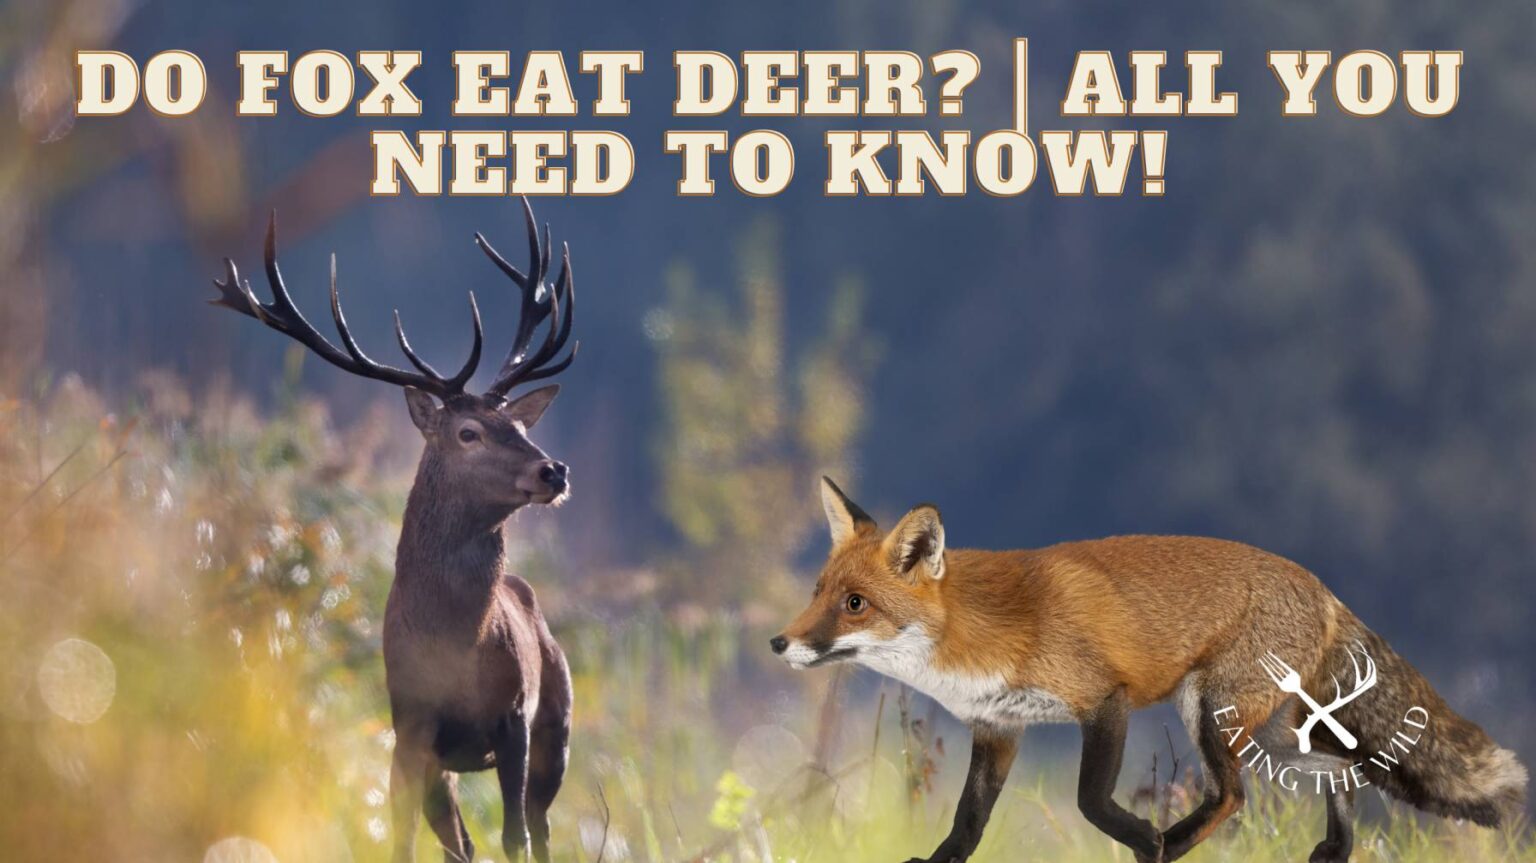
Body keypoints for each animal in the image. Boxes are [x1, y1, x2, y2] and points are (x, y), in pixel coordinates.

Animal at [210, 198, 579, 863]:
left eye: (518, 425)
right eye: (468, 433)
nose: (553, 469)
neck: (453, 649)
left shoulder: (514, 716)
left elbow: (513, 835)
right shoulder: (410, 728)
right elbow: (401, 835)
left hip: (556, 721)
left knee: (537, 828)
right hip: (449, 764)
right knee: (461, 841)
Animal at [771, 477, 1527, 863]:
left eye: (855, 604)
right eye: (816, 591)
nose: (779, 642)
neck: (975, 635)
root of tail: (1321, 587)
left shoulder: (1105, 699)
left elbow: (1090, 801)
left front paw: (1144, 840)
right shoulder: (999, 728)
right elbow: (968, 821)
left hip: (1212, 713)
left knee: (1234, 796)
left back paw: (1172, 845)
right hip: (1264, 730)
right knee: (1341, 763)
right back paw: (1336, 849)